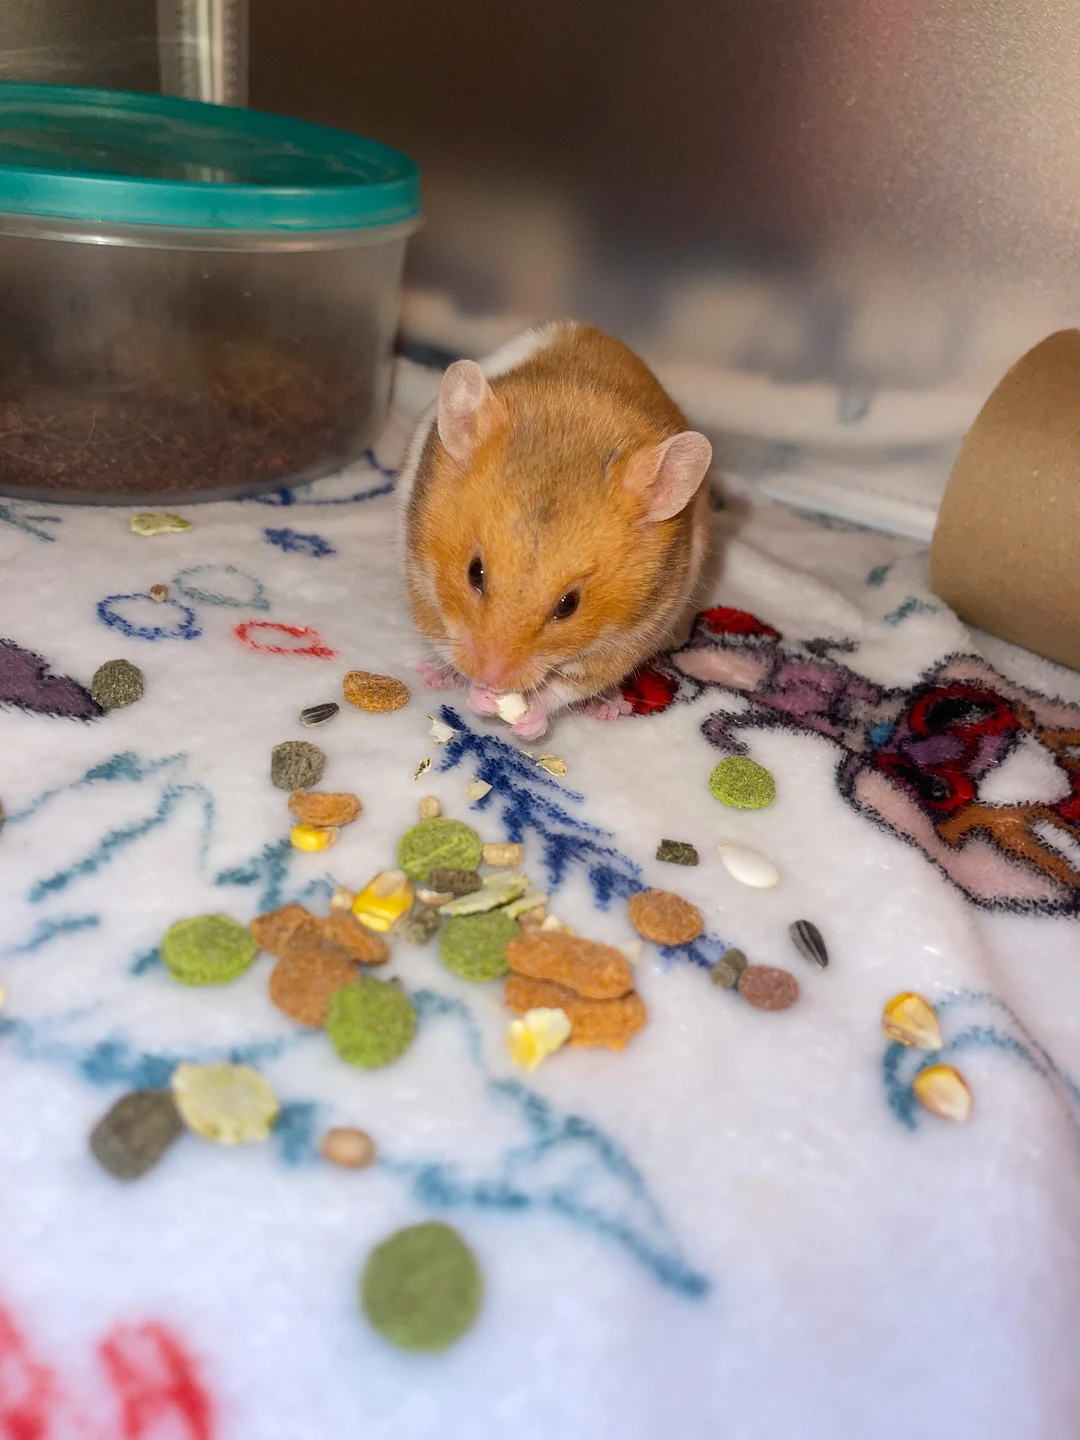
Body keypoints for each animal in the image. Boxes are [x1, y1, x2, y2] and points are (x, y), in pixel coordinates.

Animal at [399, 321, 712, 741]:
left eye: (569, 605)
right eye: (474, 573)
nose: (493, 680)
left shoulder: (631, 636)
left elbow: (566, 688)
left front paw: (523, 720)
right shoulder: (420, 577)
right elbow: (443, 638)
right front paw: (477, 695)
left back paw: (609, 709)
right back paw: (434, 676)